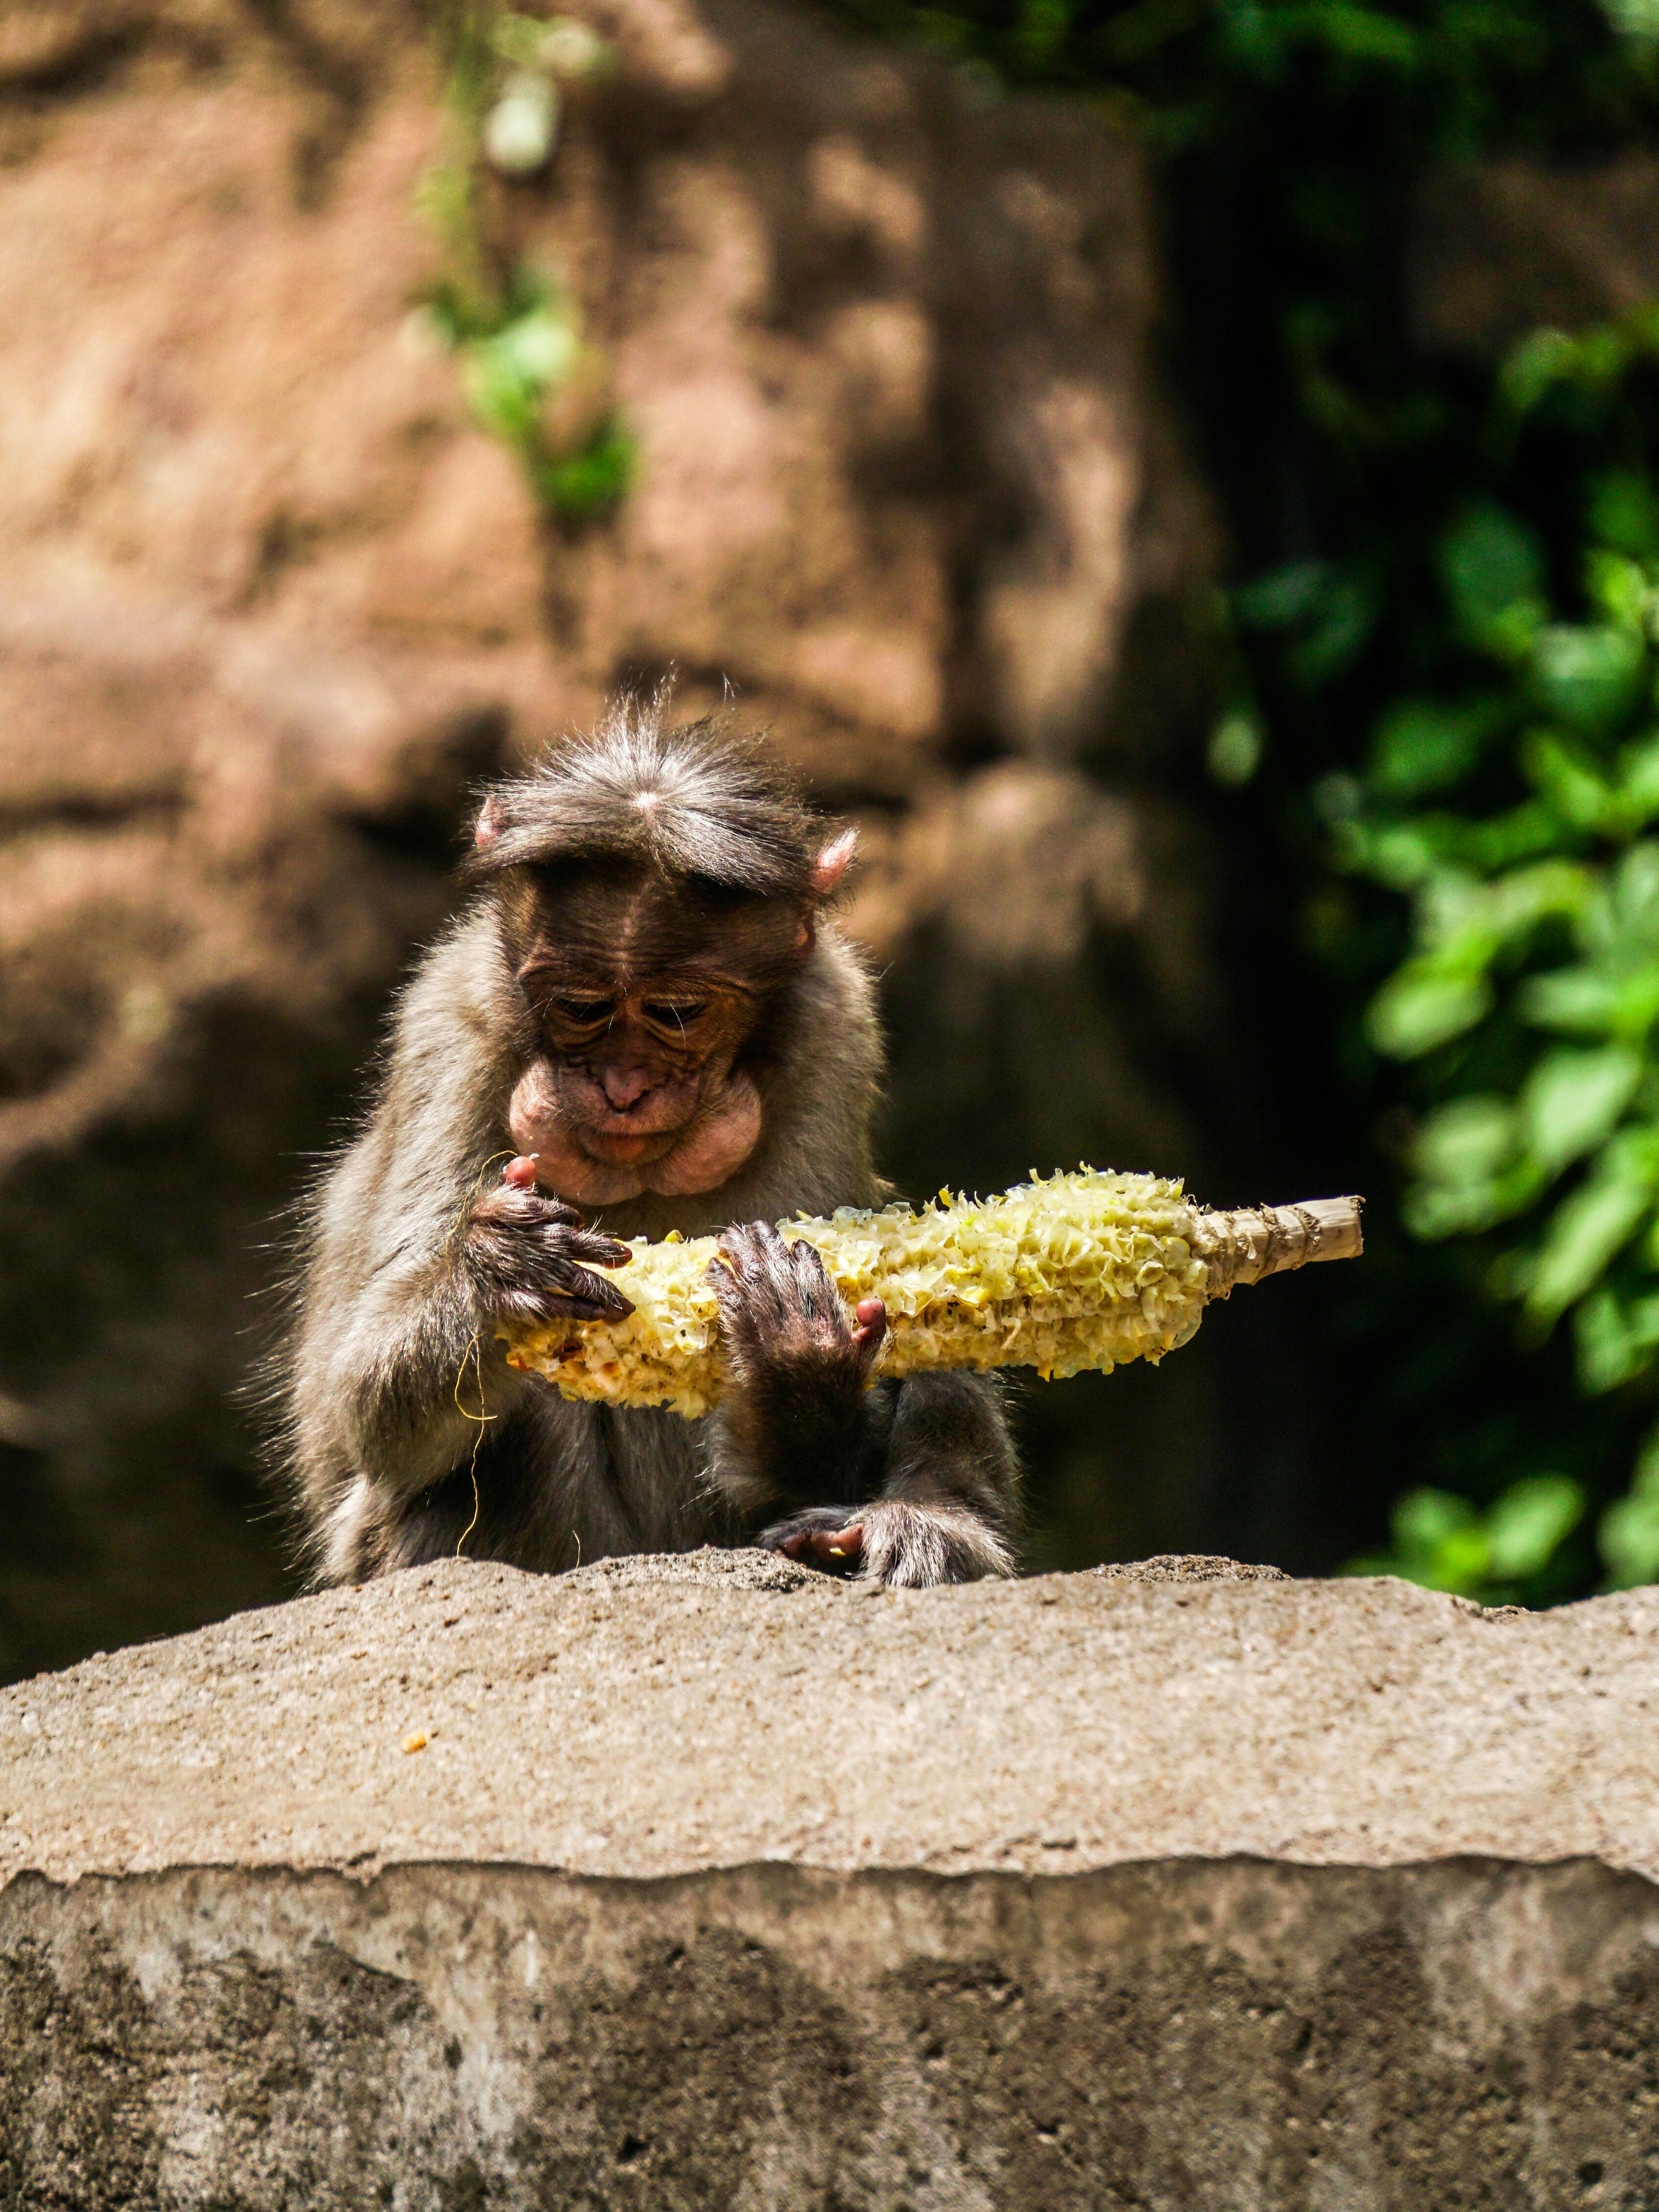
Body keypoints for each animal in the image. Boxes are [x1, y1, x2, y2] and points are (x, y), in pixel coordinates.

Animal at [282, 691, 1020, 1589]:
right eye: (581, 1006)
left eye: (676, 1012)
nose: (623, 1087)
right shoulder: (452, 1021)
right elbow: (362, 1407)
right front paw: (495, 1271)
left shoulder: (835, 1028)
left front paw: (801, 1372)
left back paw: (919, 1526)